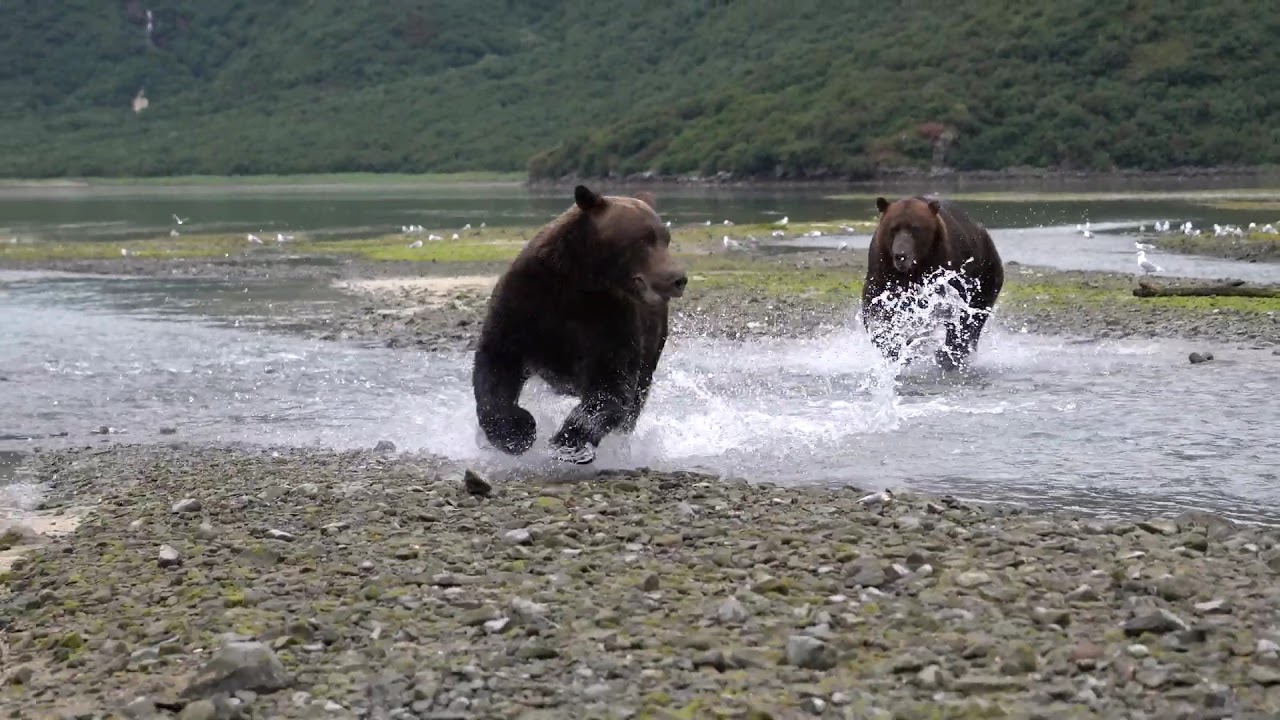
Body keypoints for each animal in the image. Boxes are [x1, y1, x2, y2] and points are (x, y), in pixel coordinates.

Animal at [472, 184, 688, 464]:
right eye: (644, 239)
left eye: (666, 238)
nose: (678, 279)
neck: (582, 279)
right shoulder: (526, 304)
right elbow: (496, 365)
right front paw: (517, 432)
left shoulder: (609, 318)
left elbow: (611, 385)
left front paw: (569, 442)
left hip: (653, 343)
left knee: (636, 398)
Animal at [860, 195, 1004, 369]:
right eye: (893, 228)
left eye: (915, 228)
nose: (901, 255)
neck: (913, 269)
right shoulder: (882, 270)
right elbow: (876, 308)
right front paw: (891, 346)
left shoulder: (944, 268)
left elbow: (948, 308)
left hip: (987, 271)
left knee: (975, 314)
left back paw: (953, 353)